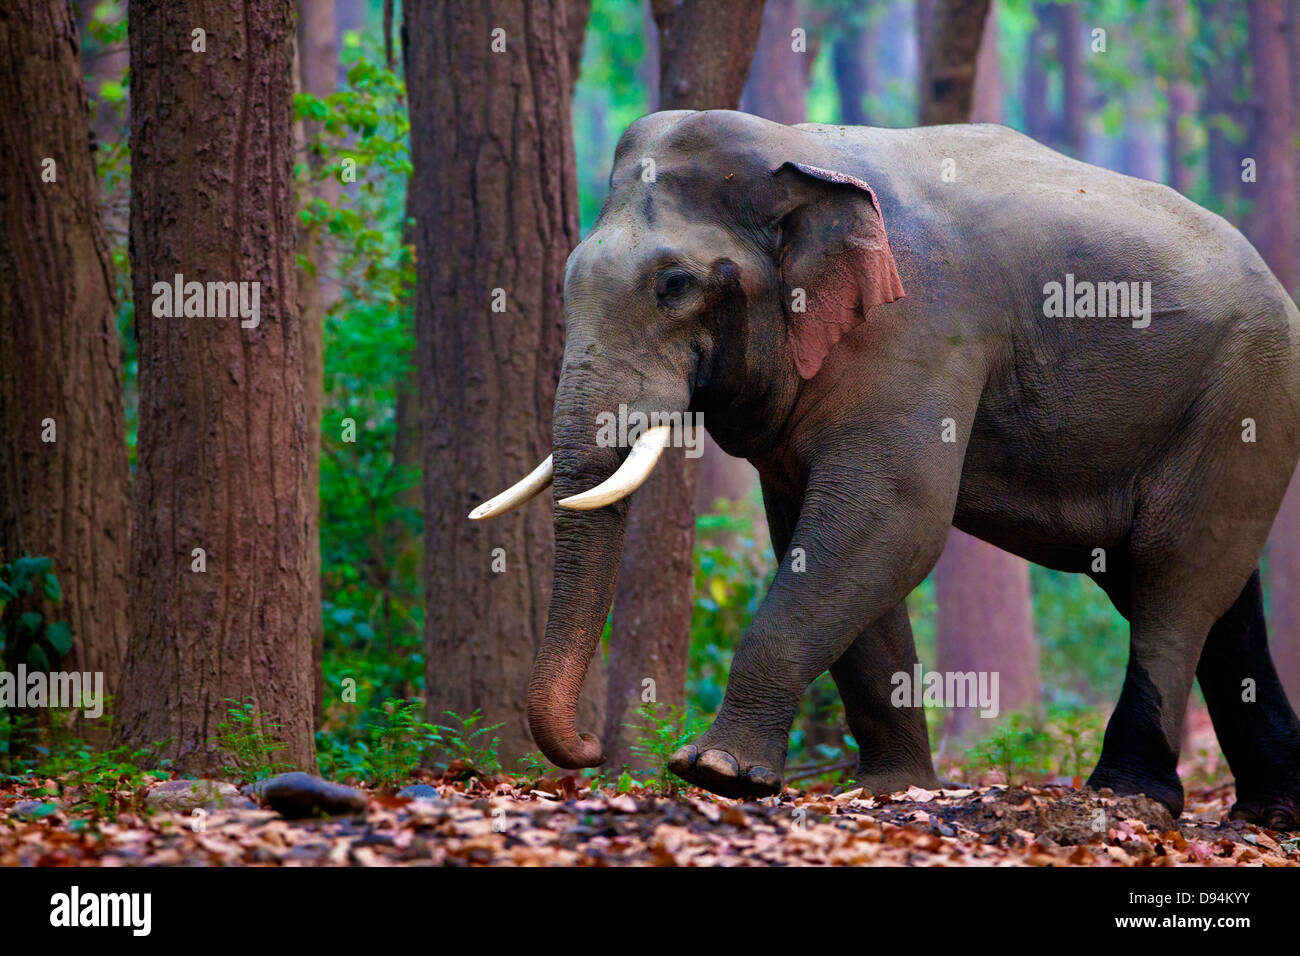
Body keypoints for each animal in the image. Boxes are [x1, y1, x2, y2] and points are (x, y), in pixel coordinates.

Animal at [470, 109, 1300, 827]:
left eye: (675, 285)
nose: (588, 750)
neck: (796, 149)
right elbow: (821, 535)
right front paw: (888, 790)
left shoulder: (920, 331)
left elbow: (891, 519)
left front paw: (716, 772)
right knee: (1210, 590)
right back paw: (1271, 811)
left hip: (1247, 393)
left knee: (1173, 577)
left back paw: (1128, 796)